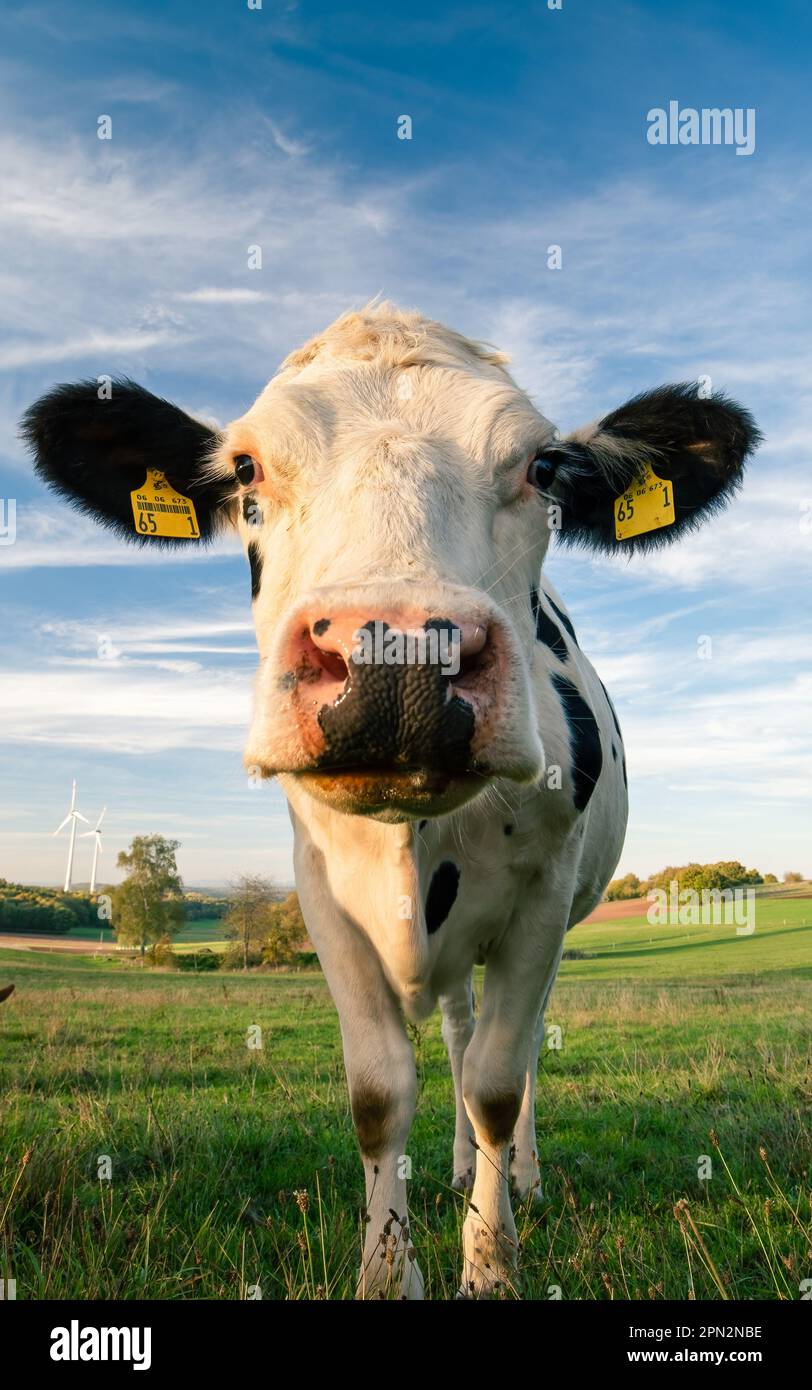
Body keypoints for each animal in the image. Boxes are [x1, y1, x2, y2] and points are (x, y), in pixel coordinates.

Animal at [22, 302, 760, 1299]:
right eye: (246, 468)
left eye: (542, 466)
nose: (396, 658)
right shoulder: (322, 895)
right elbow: (381, 1092)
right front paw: (387, 1271)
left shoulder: (542, 897)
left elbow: (498, 1084)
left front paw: (490, 1264)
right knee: (455, 1032)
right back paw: (458, 1168)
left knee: (509, 1051)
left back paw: (518, 1179)